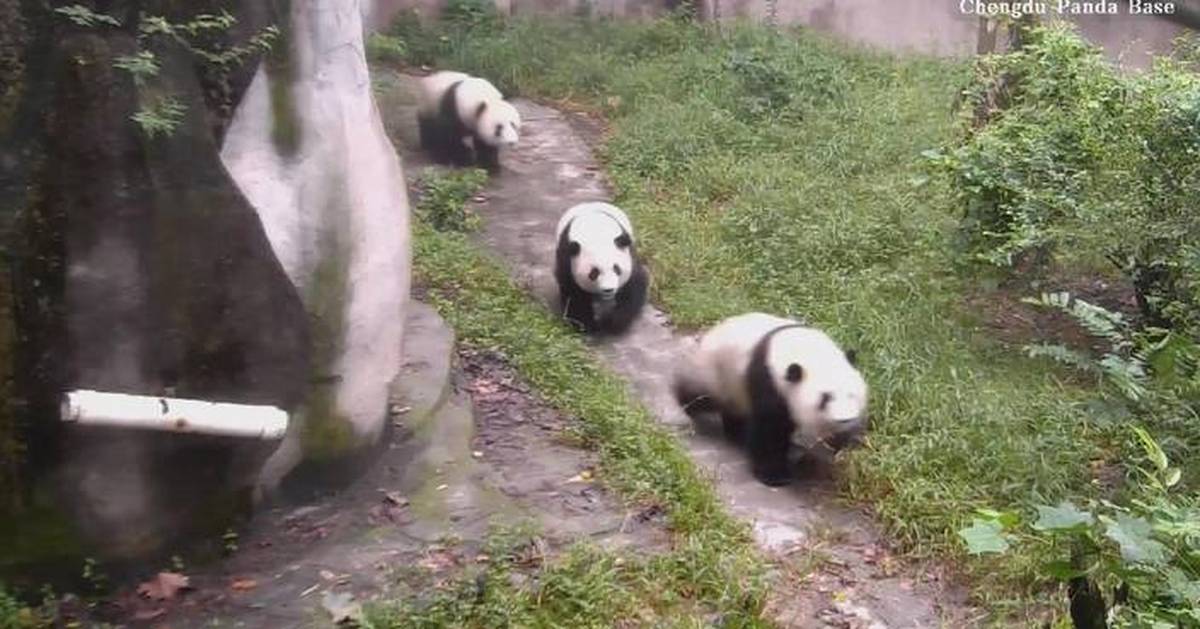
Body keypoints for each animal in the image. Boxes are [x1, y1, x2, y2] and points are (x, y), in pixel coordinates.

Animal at [554, 202, 649, 336]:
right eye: (594, 273)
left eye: (617, 268)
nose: (608, 290)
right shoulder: (567, 259)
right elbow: (574, 293)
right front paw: (589, 325)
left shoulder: (630, 255)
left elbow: (633, 287)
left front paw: (613, 321)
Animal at [672, 313, 868, 487]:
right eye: (825, 398)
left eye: (852, 394)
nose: (845, 419)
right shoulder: (767, 380)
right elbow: (770, 429)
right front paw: (774, 475)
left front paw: (842, 443)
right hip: (714, 374)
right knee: (699, 396)